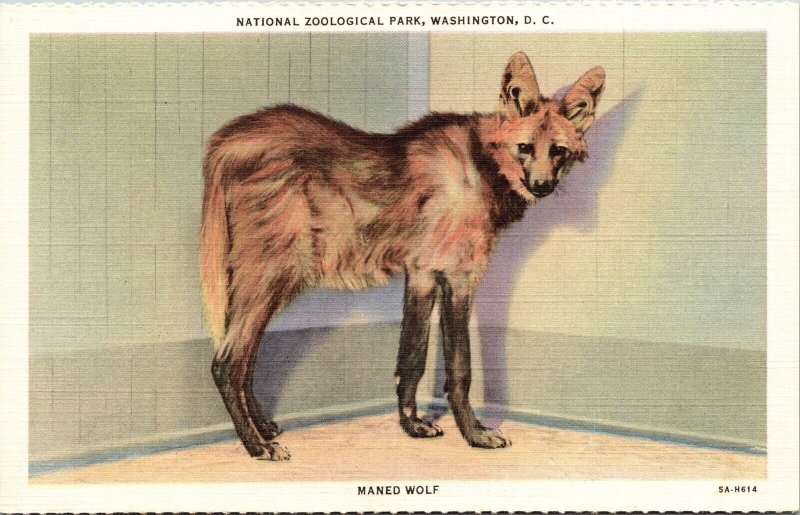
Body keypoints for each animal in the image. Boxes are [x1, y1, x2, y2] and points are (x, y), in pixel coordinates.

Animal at [200, 52, 604, 460]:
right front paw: (475, 434)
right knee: (226, 363)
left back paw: (264, 427)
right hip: (274, 274)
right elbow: (460, 367)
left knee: (245, 360)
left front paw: (412, 425)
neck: (482, 165)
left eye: (558, 151)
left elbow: (411, 358)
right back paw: (257, 446)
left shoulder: (423, 274)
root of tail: (226, 138)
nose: (541, 186)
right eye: (525, 148)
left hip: (269, 280)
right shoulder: (456, 277)